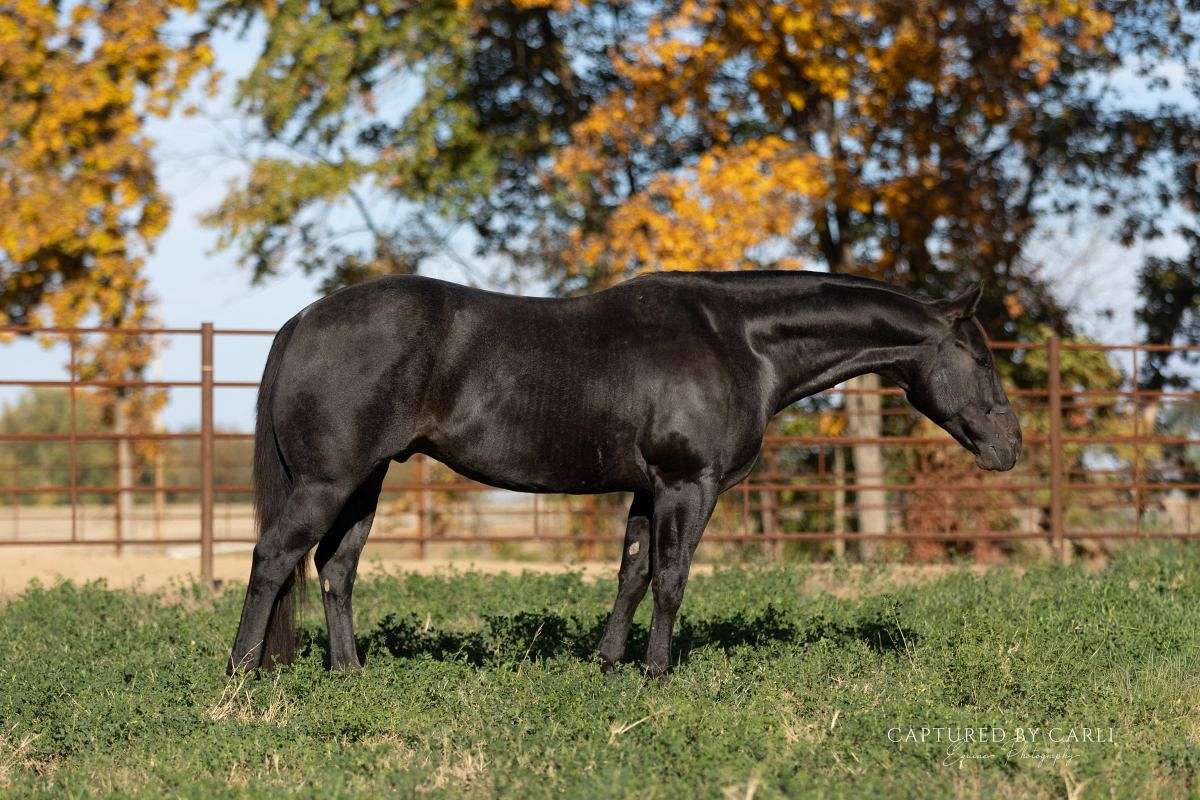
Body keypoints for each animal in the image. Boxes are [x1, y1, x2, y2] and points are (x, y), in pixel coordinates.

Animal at [227, 270, 1021, 677]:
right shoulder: (687, 484)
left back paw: (350, 673)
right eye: (982, 357)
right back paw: (242, 677)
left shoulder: (647, 488)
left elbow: (633, 573)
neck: (738, 341)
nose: (1009, 447)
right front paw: (658, 673)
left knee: (335, 568)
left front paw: (609, 665)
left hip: (365, 483)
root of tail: (303, 319)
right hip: (328, 482)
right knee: (274, 558)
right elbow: (671, 579)